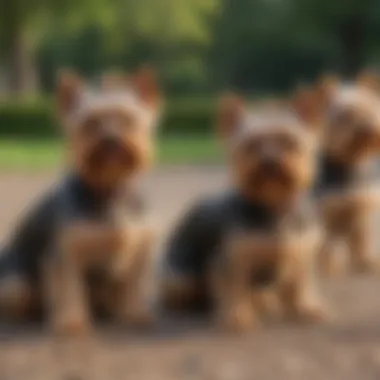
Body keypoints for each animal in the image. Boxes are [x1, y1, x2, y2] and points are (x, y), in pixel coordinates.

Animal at [0, 67, 162, 334]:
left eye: (128, 120)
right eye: (90, 123)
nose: (111, 140)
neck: (109, 188)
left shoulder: (139, 250)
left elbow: (132, 285)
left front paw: (135, 312)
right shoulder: (65, 254)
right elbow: (70, 289)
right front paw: (71, 322)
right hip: (15, 283)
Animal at [162, 90, 328, 332]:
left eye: (289, 142)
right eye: (251, 145)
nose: (269, 162)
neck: (273, 205)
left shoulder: (301, 252)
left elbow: (301, 282)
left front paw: (306, 308)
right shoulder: (231, 259)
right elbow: (234, 288)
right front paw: (236, 317)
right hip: (179, 277)